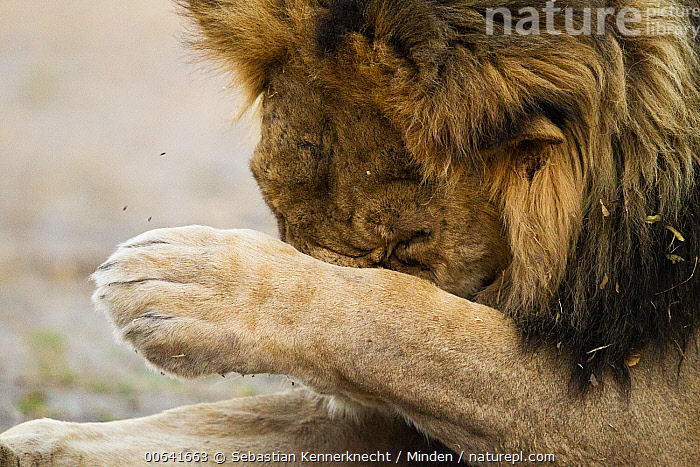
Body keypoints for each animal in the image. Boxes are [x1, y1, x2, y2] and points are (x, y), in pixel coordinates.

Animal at [2, 0, 700, 465]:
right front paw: (38, 440)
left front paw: (186, 285)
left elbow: (419, 328)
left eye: (406, 244)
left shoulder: (650, 413)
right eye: (277, 211)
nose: (324, 389)